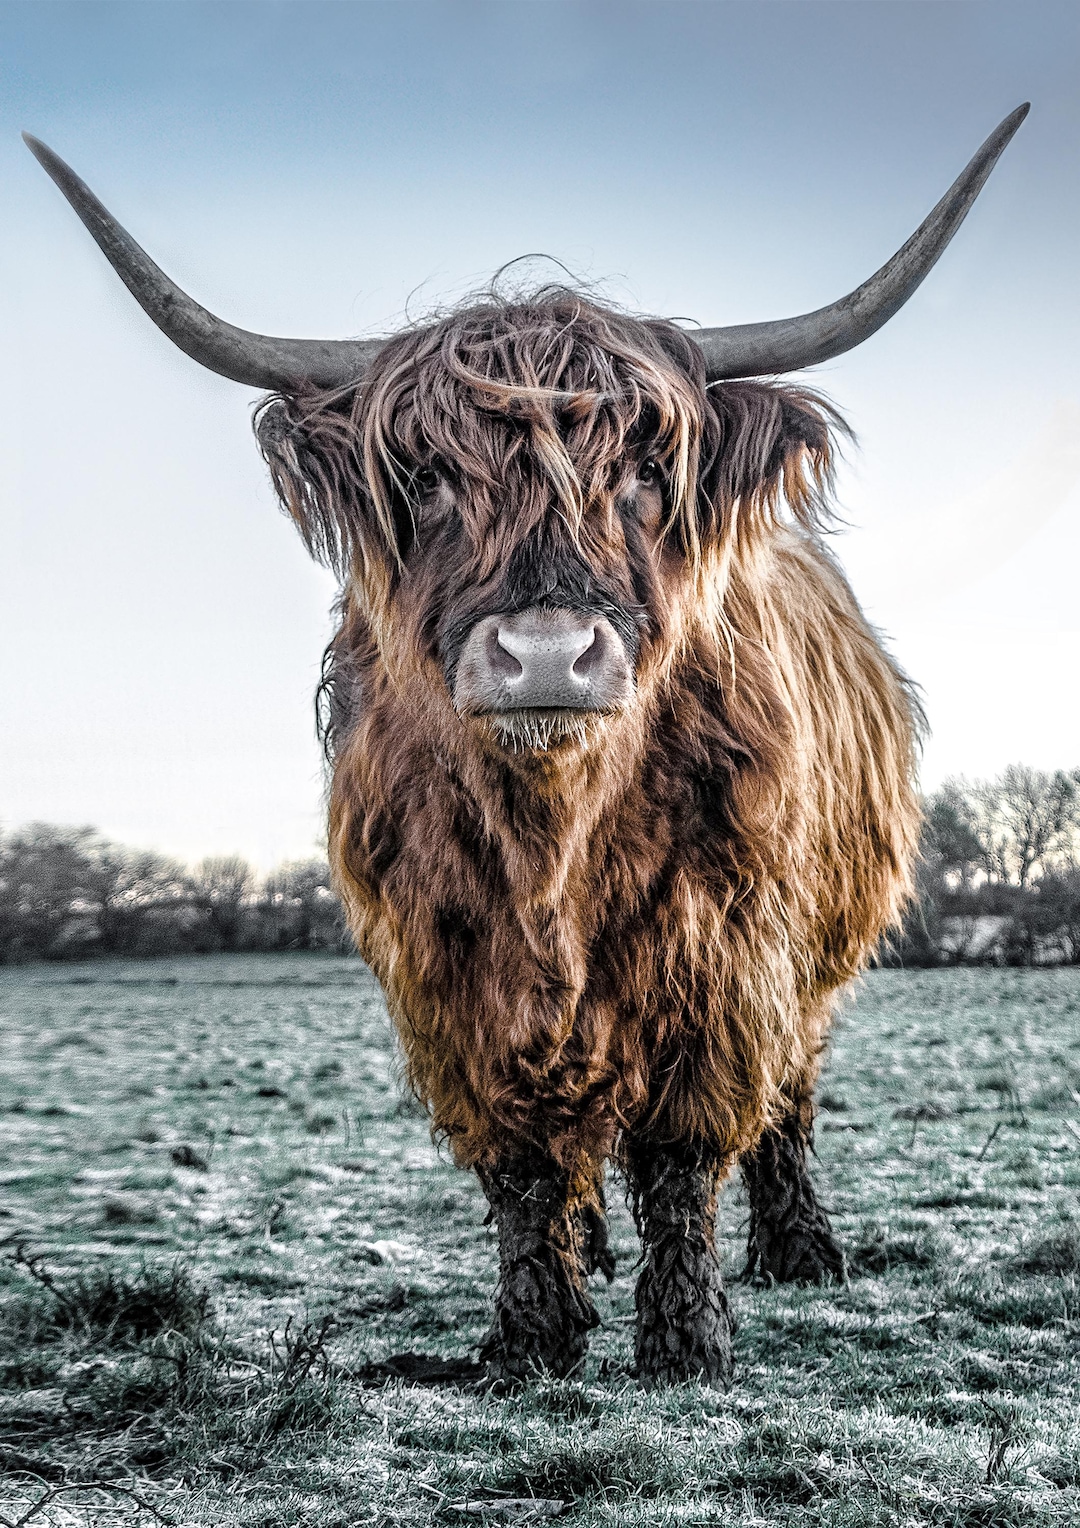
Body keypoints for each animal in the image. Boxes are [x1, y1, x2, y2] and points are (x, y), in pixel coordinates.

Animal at [25, 105, 1027, 1386]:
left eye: (645, 471)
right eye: (431, 479)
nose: (548, 654)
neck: (554, 839)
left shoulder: (722, 952)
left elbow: (684, 1151)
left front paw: (686, 1338)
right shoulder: (446, 968)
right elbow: (519, 1163)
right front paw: (533, 1333)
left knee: (789, 1095)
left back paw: (802, 1250)